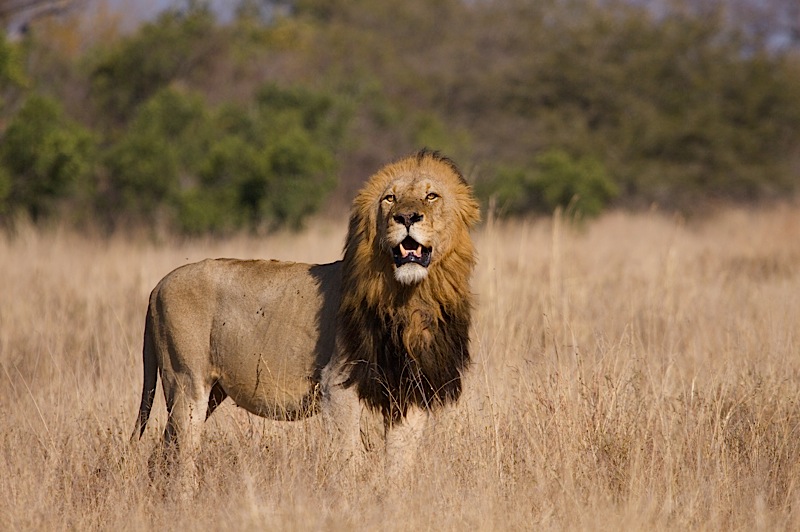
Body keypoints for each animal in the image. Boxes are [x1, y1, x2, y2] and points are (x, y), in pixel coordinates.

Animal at [130, 150, 480, 479]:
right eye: (389, 199)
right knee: (180, 458)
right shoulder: (337, 384)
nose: (406, 217)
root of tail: (157, 287)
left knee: (160, 454)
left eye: (431, 195)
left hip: (212, 392)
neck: (409, 299)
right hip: (186, 383)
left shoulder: (410, 391)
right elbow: (349, 458)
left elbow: (399, 464)